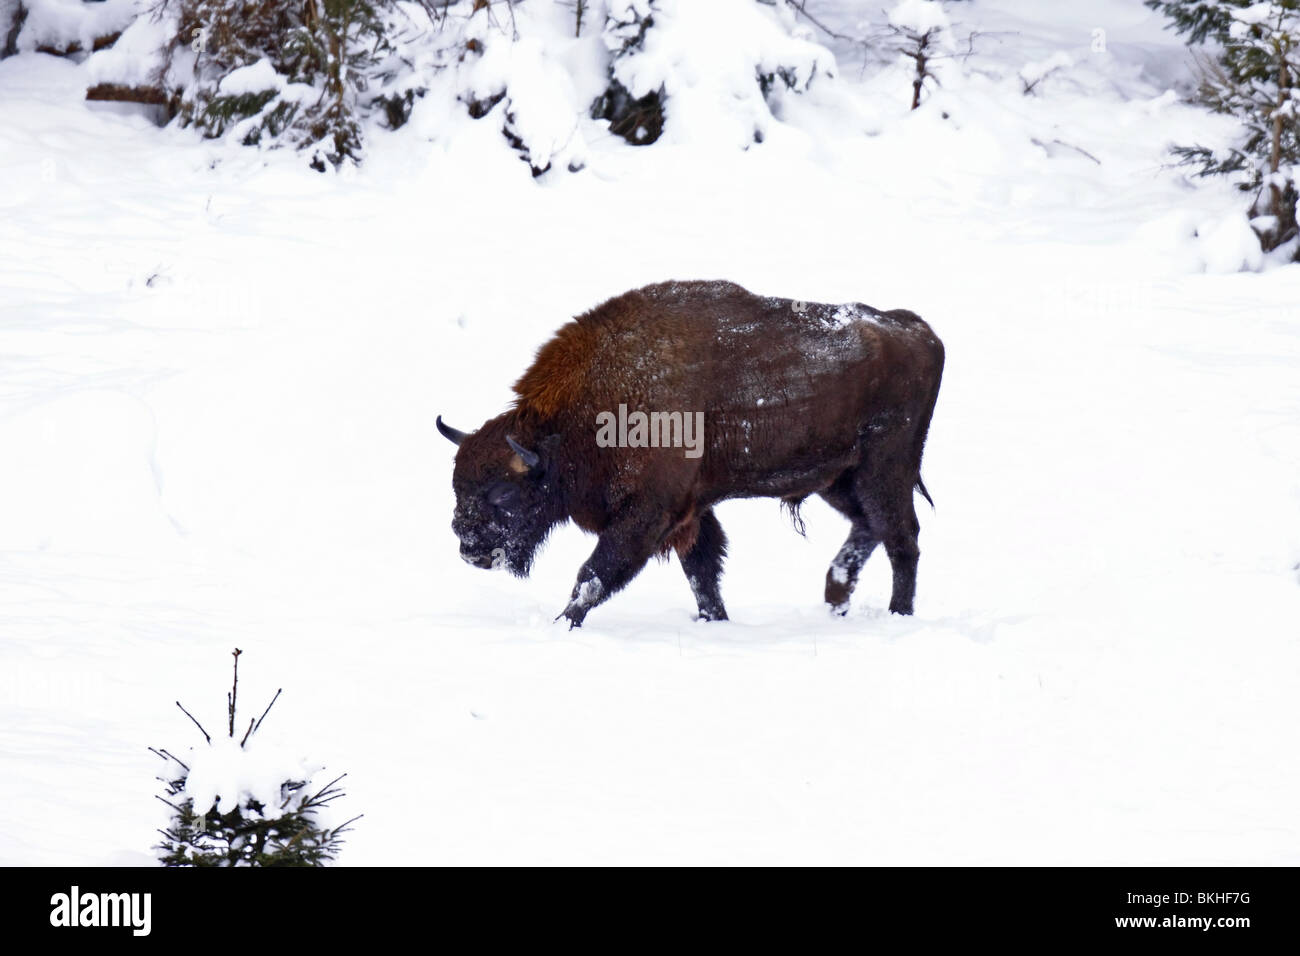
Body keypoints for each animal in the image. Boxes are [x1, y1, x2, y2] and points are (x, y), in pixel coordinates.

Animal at [438, 279, 944, 627]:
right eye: (457, 485)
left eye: (504, 493)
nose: (471, 550)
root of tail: (918, 330)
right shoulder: (691, 513)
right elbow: (702, 569)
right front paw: (715, 621)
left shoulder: (649, 514)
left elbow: (595, 574)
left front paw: (562, 624)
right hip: (837, 479)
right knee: (870, 526)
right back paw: (836, 598)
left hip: (885, 468)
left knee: (902, 537)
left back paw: (897, 615)